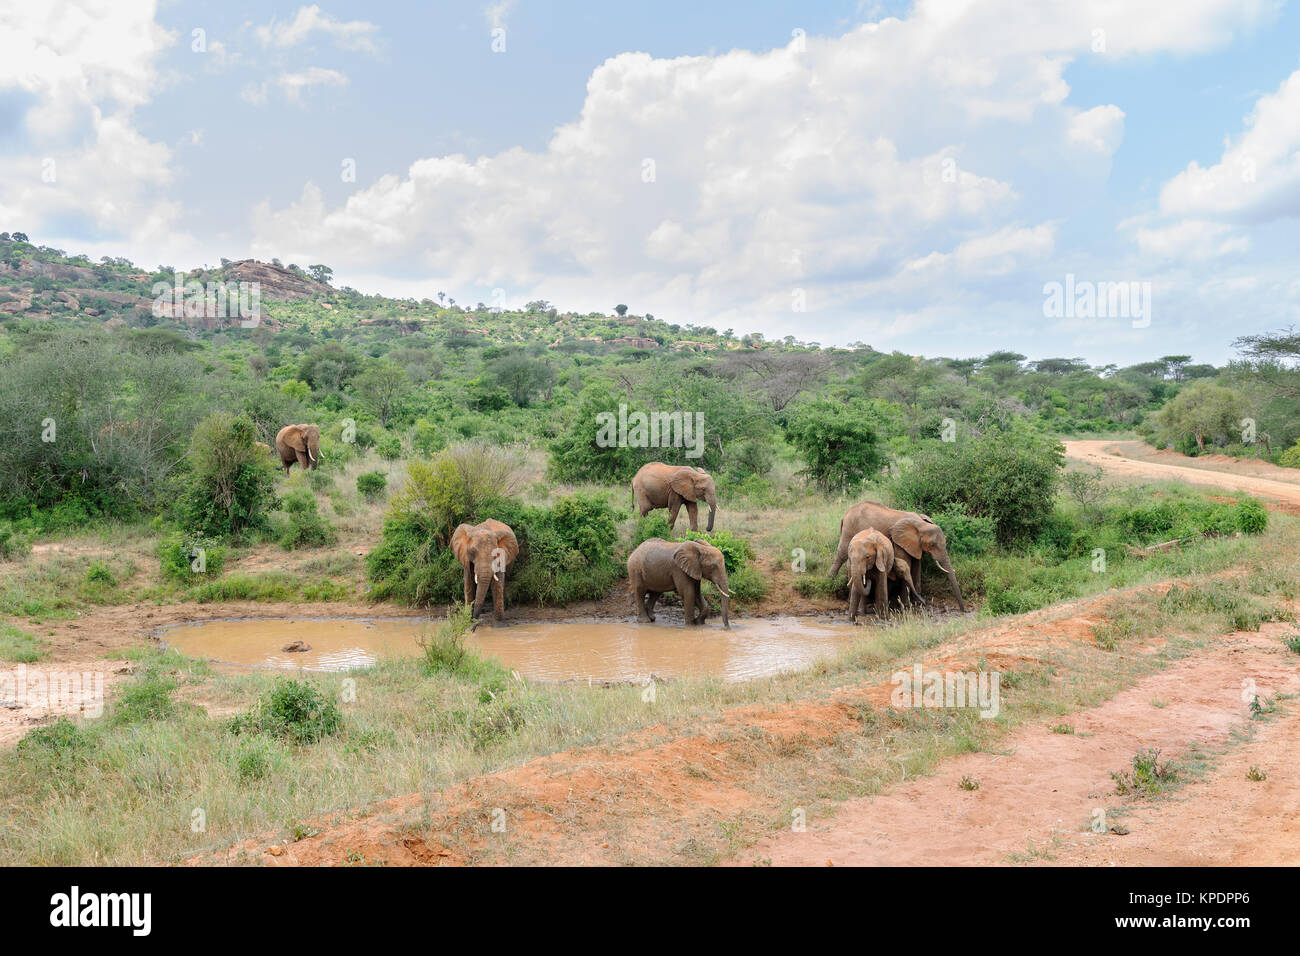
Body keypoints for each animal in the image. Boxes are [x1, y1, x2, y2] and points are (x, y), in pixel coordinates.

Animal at [829, 501, 966, 612]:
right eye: (932, 544)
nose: (963, 610)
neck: (920, 524)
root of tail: (845, 514)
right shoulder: (899, 540)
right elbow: (907, 563)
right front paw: (906, 606)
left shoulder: (915, 545)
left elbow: (917, 566)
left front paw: (915, 603)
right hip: (849, 529)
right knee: (841, 555)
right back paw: (830, 582)